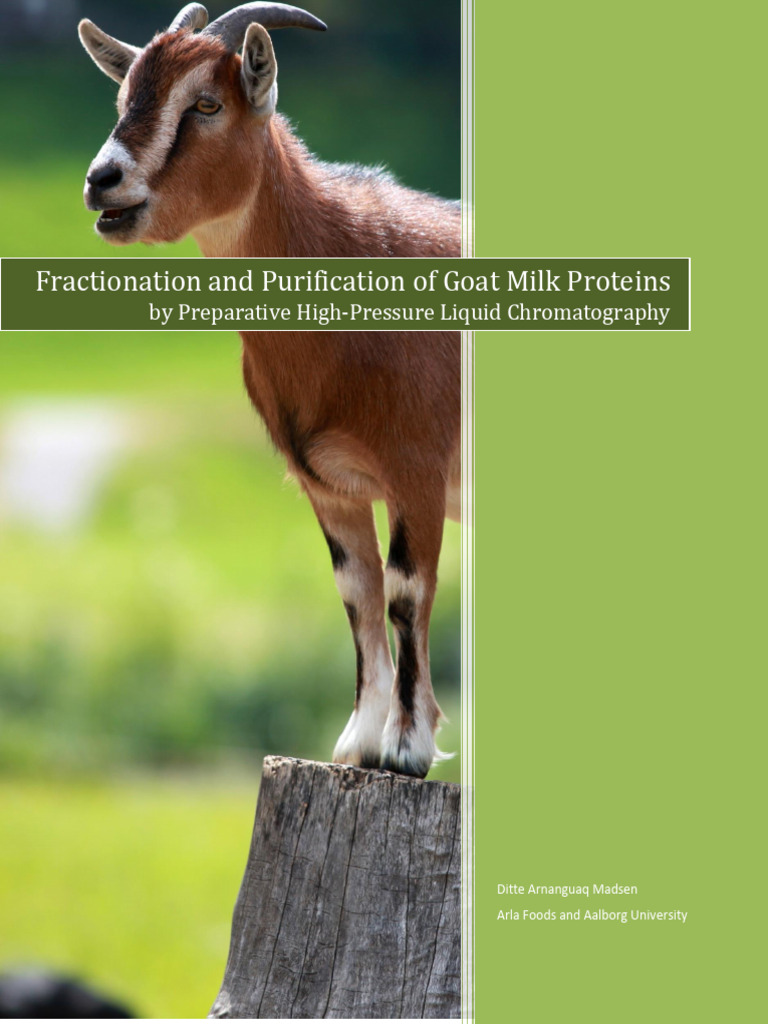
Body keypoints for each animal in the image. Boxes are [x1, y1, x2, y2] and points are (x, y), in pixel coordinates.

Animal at [79, 3, 461, 778]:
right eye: (123, 95)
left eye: (206, 104)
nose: (103, 180)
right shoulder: (328, 482)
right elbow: (357, 592)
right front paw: (359, 743)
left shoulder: (417, 466)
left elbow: (406, 591)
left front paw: (408, 749)